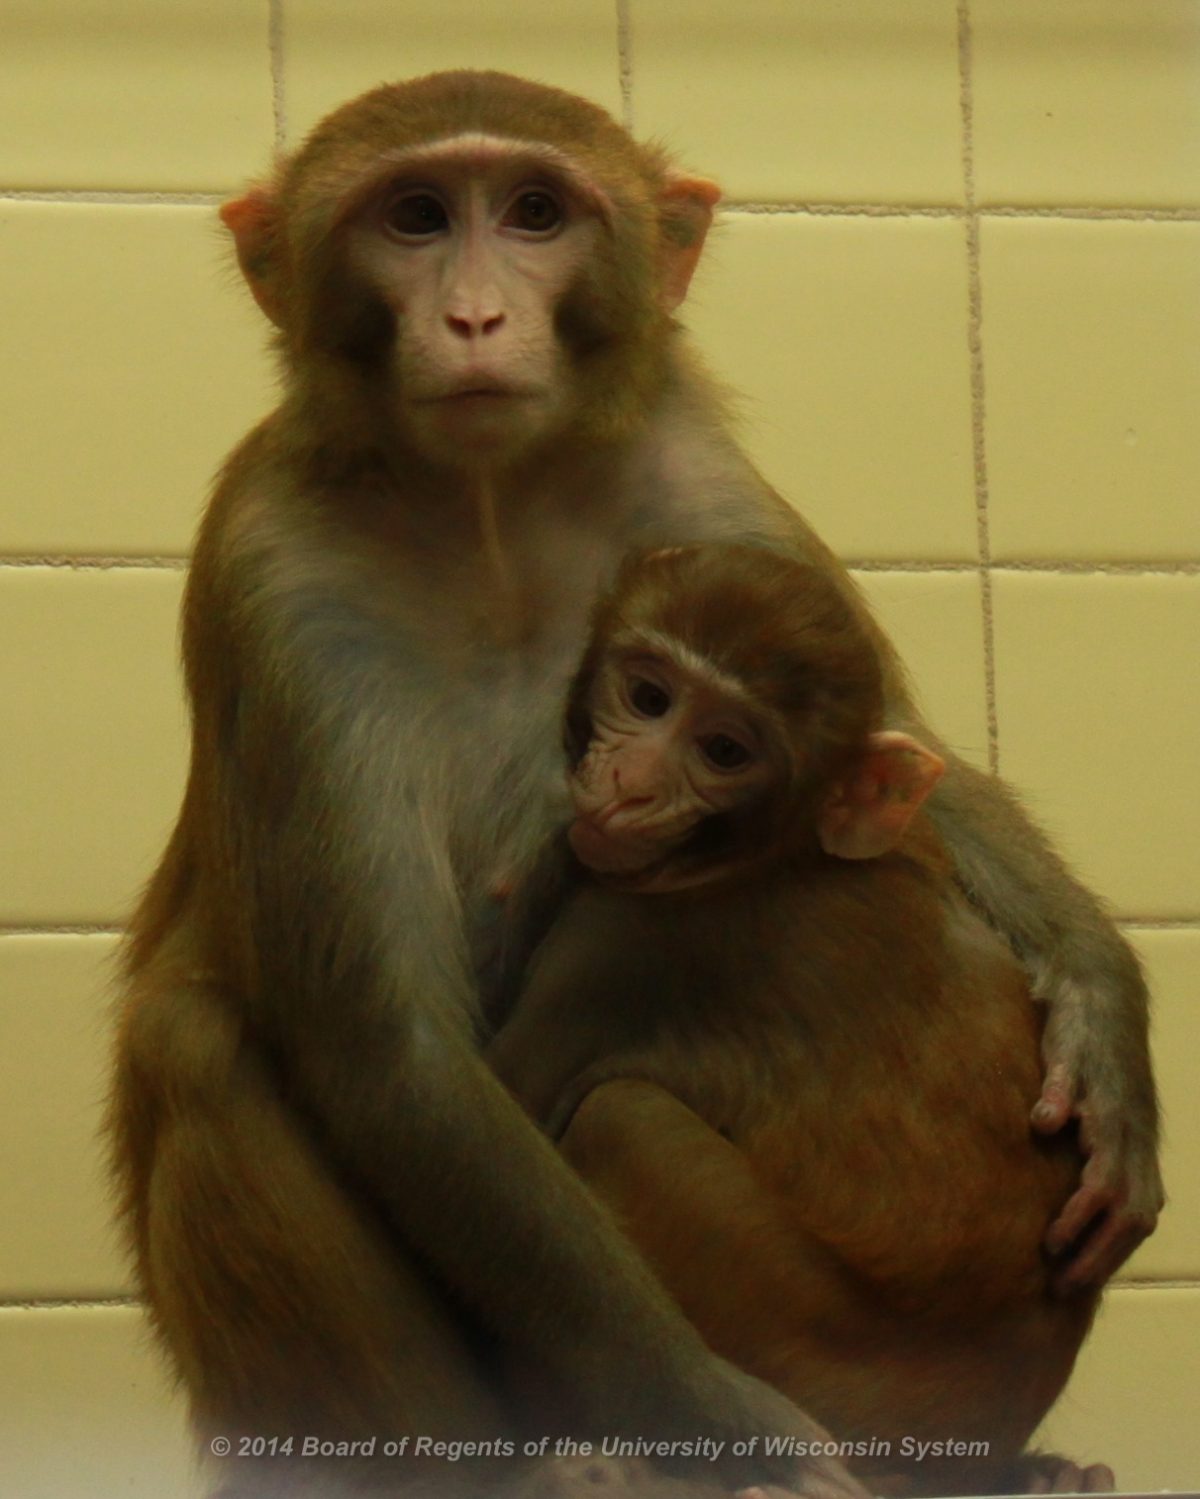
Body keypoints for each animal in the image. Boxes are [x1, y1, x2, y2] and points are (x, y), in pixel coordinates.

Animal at [488, 543, 1114, 1498]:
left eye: (724, 749)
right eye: (648, 697)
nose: (630, 782)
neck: (782, 849)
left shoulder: (626, 947)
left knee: (623, 1117)